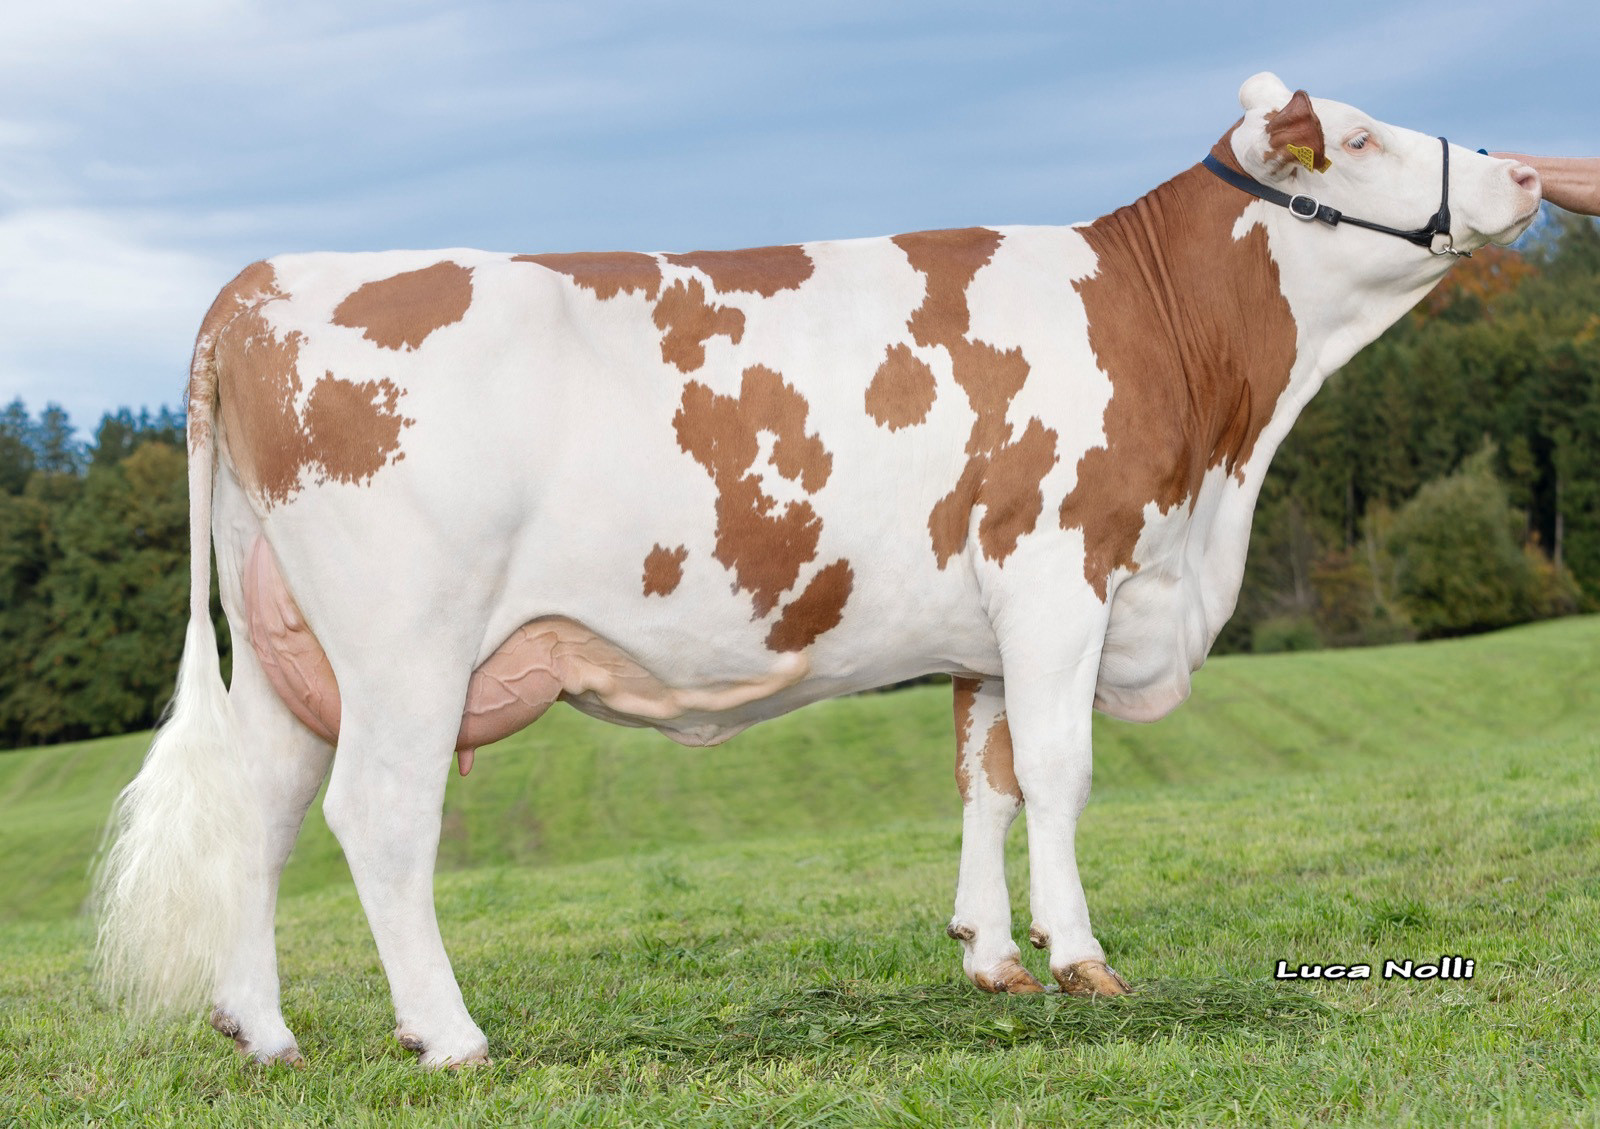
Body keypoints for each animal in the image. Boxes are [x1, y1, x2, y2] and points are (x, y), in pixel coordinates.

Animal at [93, 72, 1542, 1067]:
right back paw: (449, 1035)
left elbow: (986, 778)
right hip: (405, 646)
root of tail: (260, 281)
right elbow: (1060, 772)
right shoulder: (1059, 570)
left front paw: (992, 957)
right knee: (378, 819)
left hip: (290, 649)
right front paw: (1082, 958)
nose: (1526, 174)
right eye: (1358, 138)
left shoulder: (985, 618)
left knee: (264, 812)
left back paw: (265, 1032)